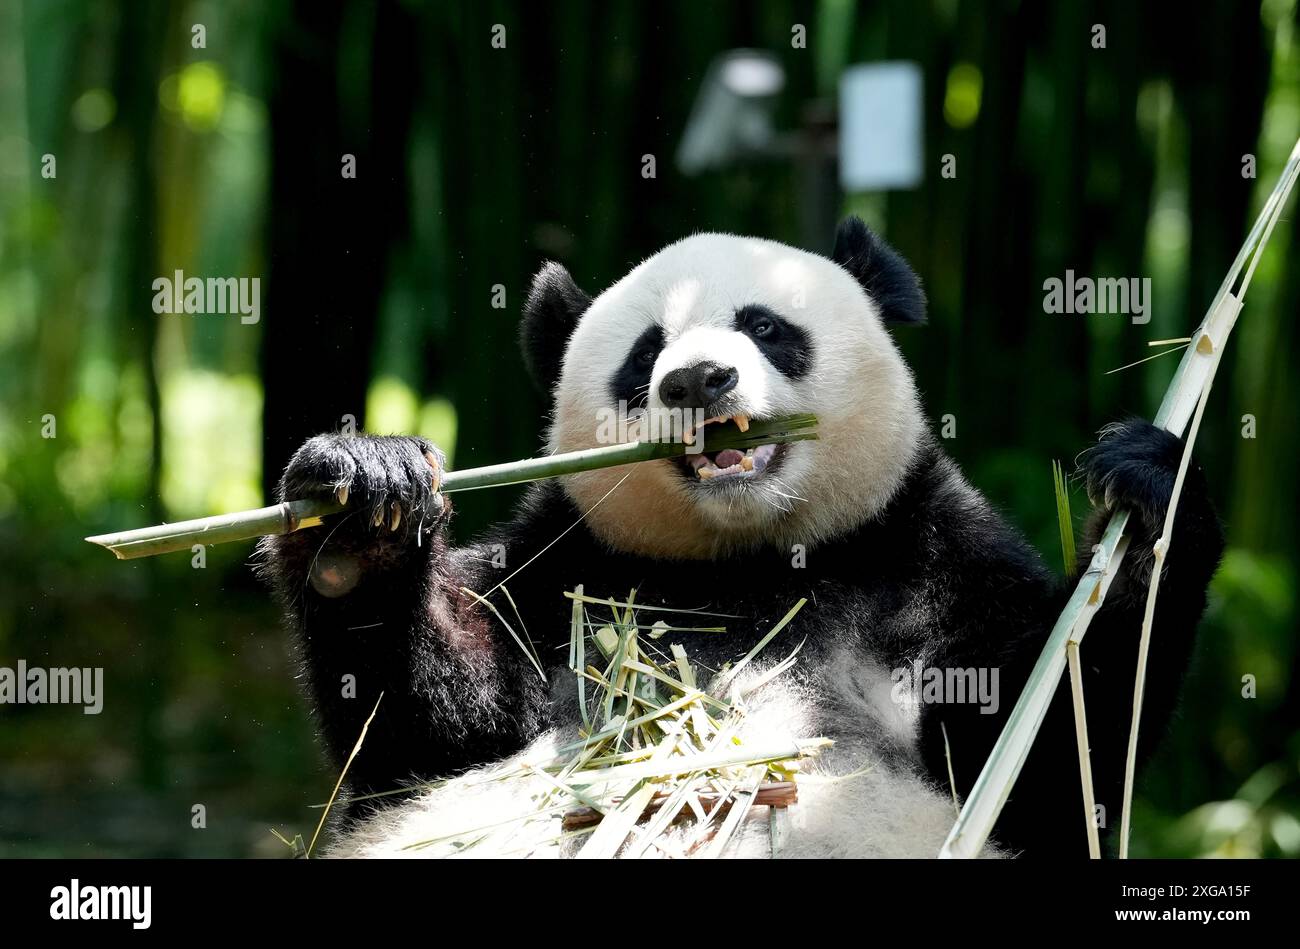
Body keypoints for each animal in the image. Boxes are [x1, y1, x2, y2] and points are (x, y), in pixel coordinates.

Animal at [262, 217, 1223, 858]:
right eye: (644, 351)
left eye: (765, 325)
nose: (696, 378)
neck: (750, 559)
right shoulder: (559, 564)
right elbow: (429, 738)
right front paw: (362, 514)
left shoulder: (932, 556)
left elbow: (1045, 759)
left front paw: (1150, 494)